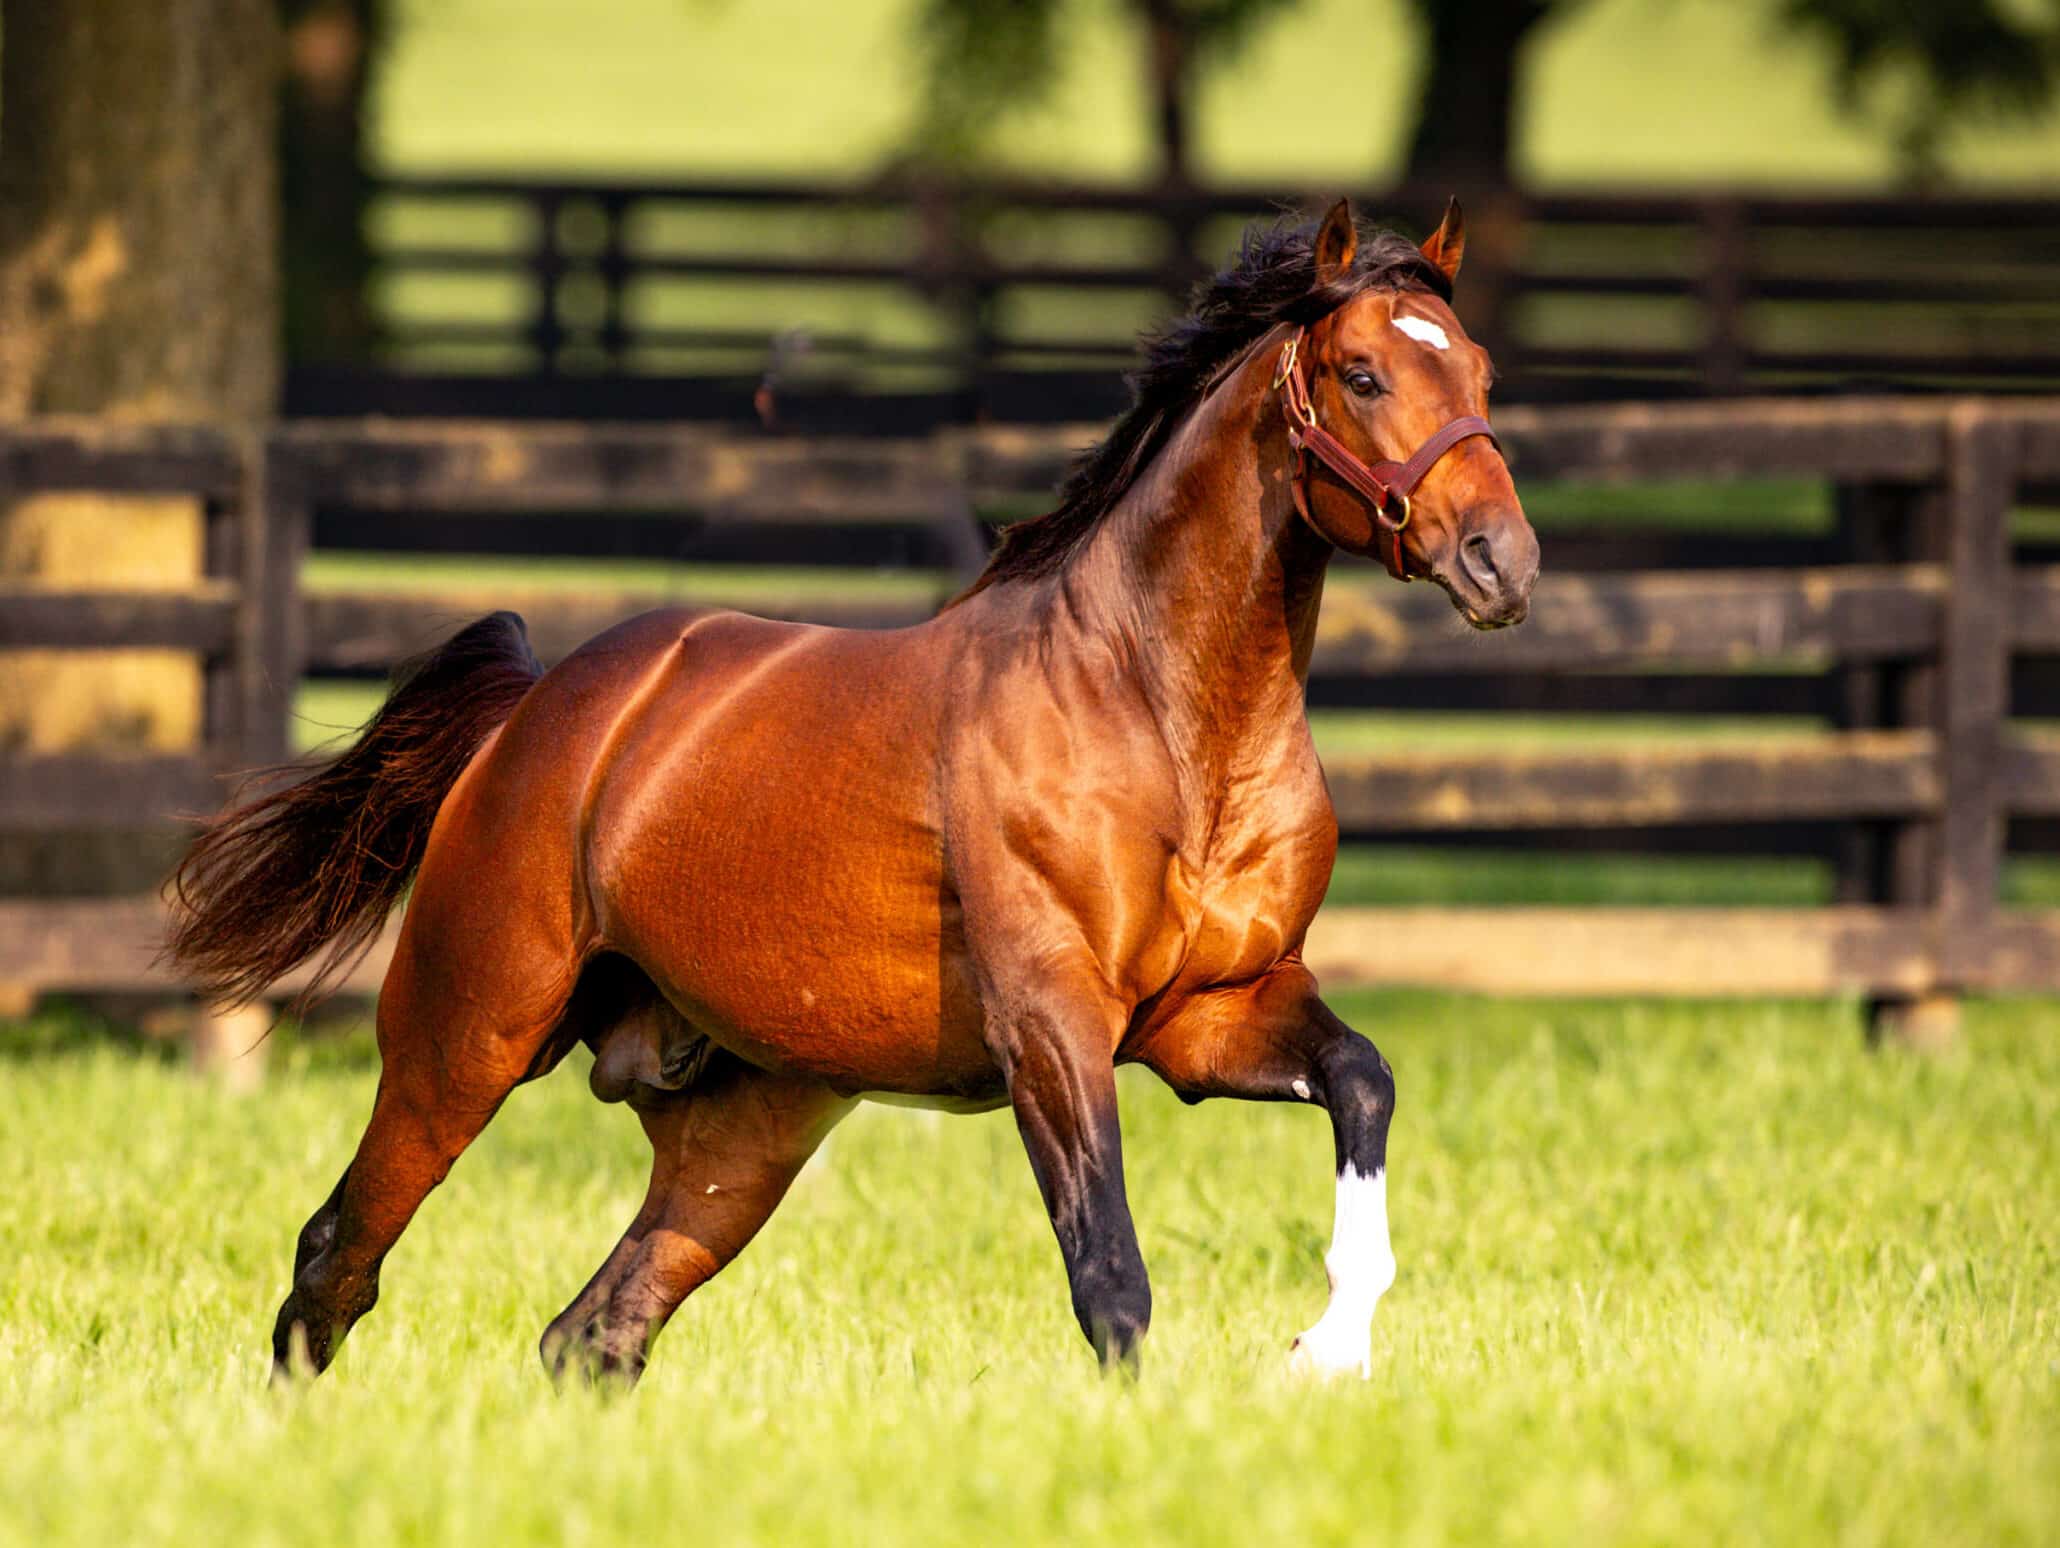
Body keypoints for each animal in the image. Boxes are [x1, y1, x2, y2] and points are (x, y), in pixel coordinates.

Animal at [168, 197, 1538, 1385]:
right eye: (1360, 374)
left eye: (1477, 373)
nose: (1502, 563)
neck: (1161, 720)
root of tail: (540, 711)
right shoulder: (1052, 1029)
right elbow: (1110, 1277)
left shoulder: (1207, 1014)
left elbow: (1363, 1078)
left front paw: (1329, 1346)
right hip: (466, 1040)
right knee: (339, 1259)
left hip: (746, 1133)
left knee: (592, 1333)